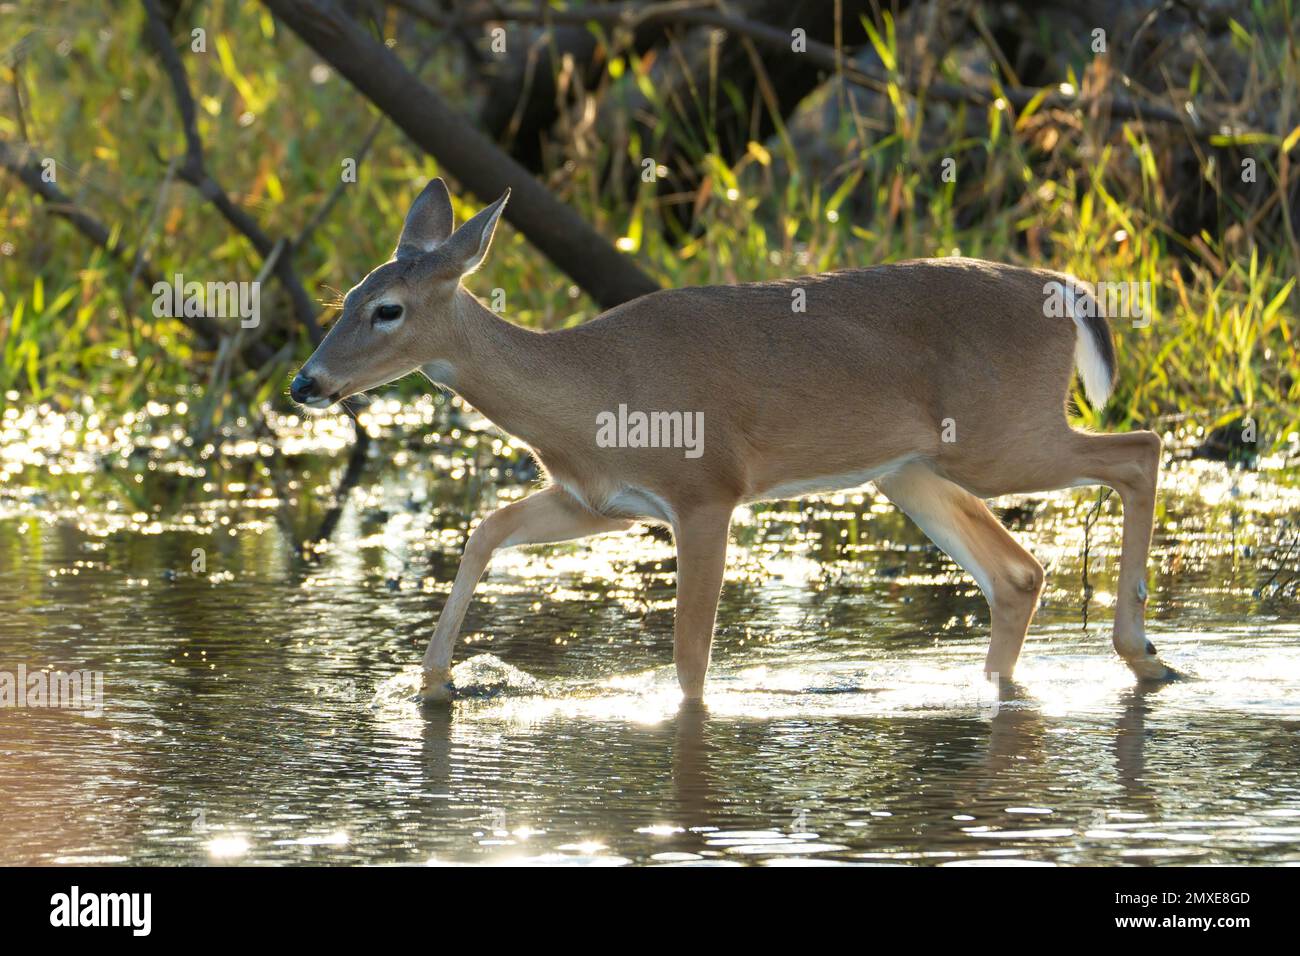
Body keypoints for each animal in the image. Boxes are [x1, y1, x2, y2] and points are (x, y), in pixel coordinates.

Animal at [290, 178, 1175, 705]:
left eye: (389, 310)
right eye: (347, 295)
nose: (305, 382)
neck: (589, 387)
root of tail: (1066, 288)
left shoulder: (705, 490)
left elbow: (690, 660)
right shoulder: (601, 502)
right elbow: (487, 528)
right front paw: (435, 681)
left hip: (1000, 439)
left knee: (1140, 447)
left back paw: (1143, 650)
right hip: (914, 468)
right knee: (1019, 572)